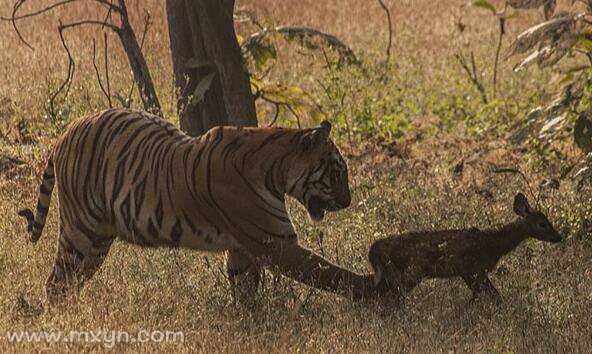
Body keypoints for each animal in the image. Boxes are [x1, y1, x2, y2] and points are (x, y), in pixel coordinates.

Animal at [20, 108, 376, 304]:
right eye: (337, 172)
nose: (348, 201)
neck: (275, 168)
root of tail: (64, 134)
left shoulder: (243, 249)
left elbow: (246, 290)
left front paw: (250, 323)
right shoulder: (275, 243)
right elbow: (330, 273)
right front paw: (376, 290)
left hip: (98, 241)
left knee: (70, 284)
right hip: (81, 232)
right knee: (56, 283)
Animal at [368, 194, 560, 302]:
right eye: (542, 224)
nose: (558, 237)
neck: (494, 245)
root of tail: (373, 250)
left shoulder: (475, 271)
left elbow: (491, 294)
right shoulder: (470, 268)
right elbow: (484, 295)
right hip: (410, 272)